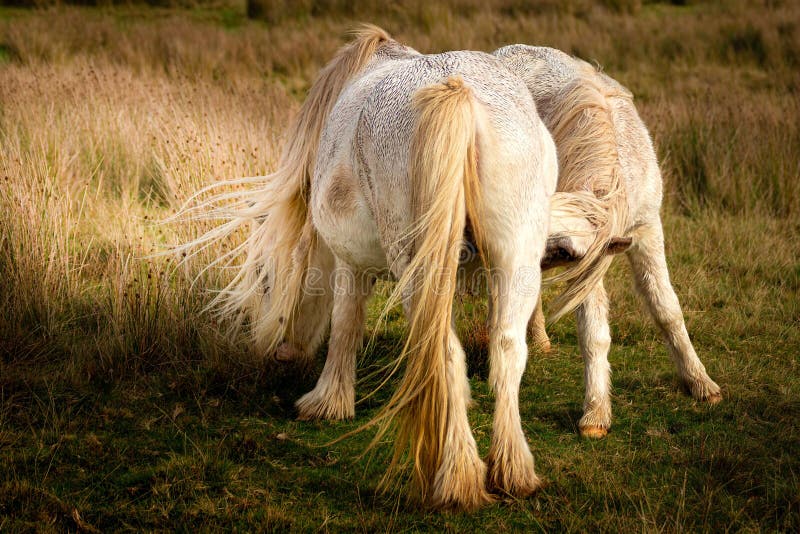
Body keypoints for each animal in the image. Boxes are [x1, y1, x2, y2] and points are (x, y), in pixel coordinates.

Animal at [180, 26, 559, 510]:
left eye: (266, 279)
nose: (280, 352)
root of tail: (457, 91)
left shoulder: (347, 262)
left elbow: (345, 323)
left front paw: (327, 401)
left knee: (443, 350)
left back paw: (456, 477)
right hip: (517, 260)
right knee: (507, 347)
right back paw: (513, 471)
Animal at [493, 45, 722, 438]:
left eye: (564, 248)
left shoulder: (645, 232)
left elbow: (667, 309)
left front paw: (701, 383)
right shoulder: (590, 268)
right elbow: (594, 333)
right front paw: (597, 413)